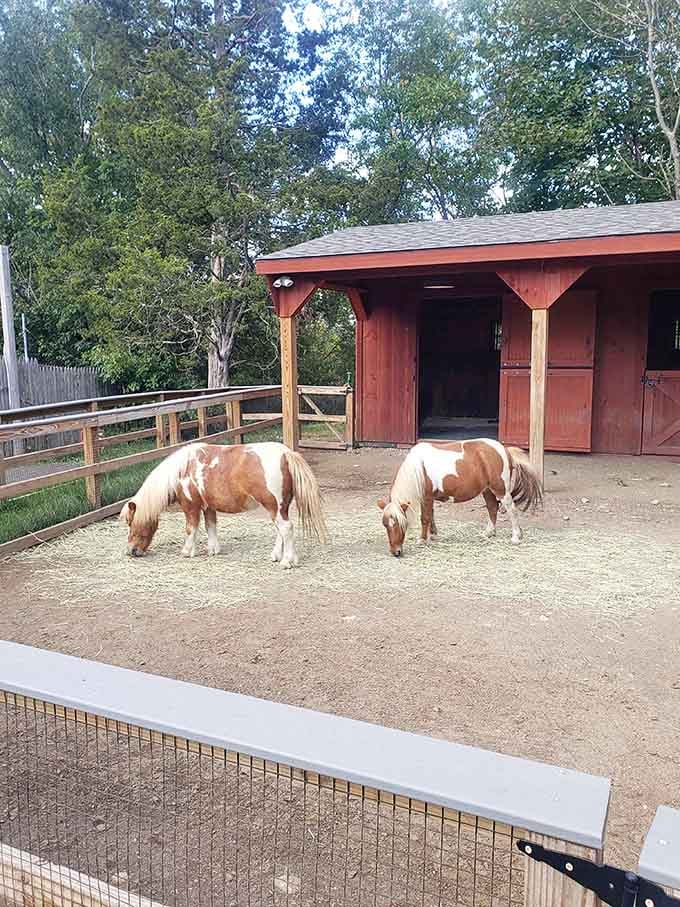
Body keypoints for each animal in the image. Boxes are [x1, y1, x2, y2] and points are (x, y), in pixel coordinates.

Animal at [120, 441, 327, 567]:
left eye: (131, 523)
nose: (132, 551)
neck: (182, 470)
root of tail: (286, 453)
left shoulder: (190, 506)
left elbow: (191, 529)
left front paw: (187, 551)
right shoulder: (208, 507)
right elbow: (210, 526)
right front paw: (213, 550)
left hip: (274, 506)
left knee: (286, 529)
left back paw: (287, 561)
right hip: (279, 508)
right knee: (282, 530)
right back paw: (278, 556)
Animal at [377, 439, 542, 557]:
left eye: (399, 524)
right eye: (385, 525)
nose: (396, 552)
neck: (419, 468)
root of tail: (504, 450)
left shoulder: (426, 497)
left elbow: (425, 518)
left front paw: (422, 540)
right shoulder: (430, 498)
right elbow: (431, 516)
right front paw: (434, 535)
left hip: (500, 489)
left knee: (511, 509)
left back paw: (516, 537)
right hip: (487, 490)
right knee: (492, 507)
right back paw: (489, 533)